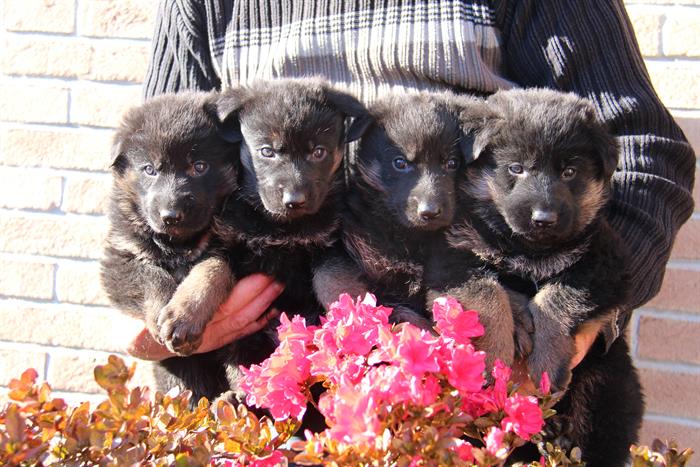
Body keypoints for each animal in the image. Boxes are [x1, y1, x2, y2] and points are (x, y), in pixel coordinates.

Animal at [452, 88, 644, 467]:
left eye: (569, 171)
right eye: (516, 168)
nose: (544, 218)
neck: (531, 248)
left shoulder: (607, 263)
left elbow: (558, 297)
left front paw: (547, 358)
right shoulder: (456, 253)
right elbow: (487, 292)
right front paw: (496, 353)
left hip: (607, 386)